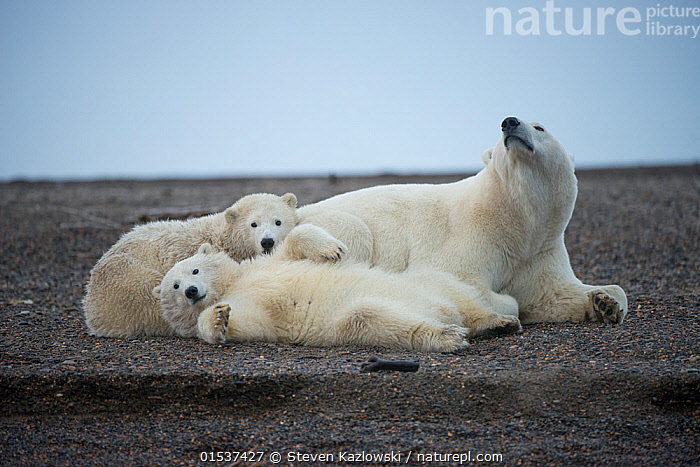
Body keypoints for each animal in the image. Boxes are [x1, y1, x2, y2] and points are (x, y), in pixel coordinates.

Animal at [153, 243, 523, 351]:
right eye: (174, 286)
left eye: (195, 270)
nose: (191, 291)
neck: (233, 285)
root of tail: (442, 310)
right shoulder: (262, 315)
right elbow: (244, 322)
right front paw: (218, 316)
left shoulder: (263, 266)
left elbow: (293, 246)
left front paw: (332, 249)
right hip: (357, 317)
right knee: (372, 317)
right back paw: (448, 335)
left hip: (426, 281)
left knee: (454, 290)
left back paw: (498, 322)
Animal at [295, 117, 628, 325]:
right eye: (499, 135)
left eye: (540, 127)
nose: (509, 121)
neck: (514, 218)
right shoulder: (471, 235)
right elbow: (447, 279)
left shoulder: (538, 251)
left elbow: (553, 293)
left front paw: (605, 302)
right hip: (338, 224)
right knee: (354, 235)